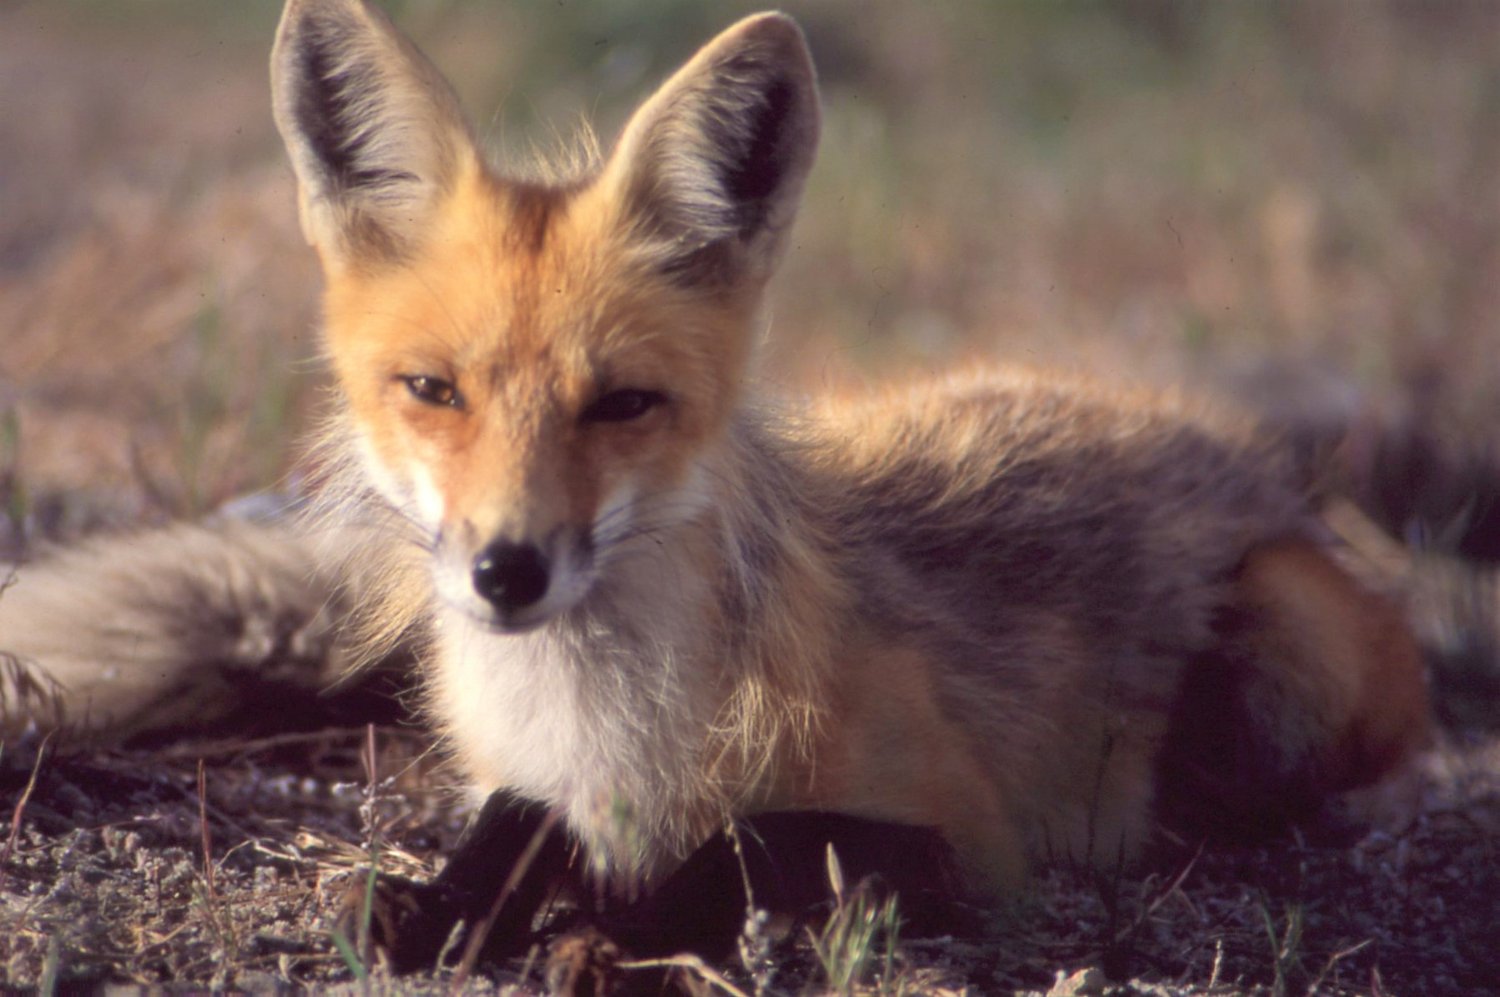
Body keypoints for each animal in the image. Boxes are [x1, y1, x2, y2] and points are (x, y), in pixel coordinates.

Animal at [0, 0, 1428, 971]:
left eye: (622, 404)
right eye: (434, 390)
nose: (505, 571)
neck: (605, 724)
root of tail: (1229, 447)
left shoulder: (977, 840)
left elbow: (748, 847)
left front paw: (612, 913)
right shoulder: (522, 769)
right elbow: (512, 817)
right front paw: (451, 899)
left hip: (1286, 656)